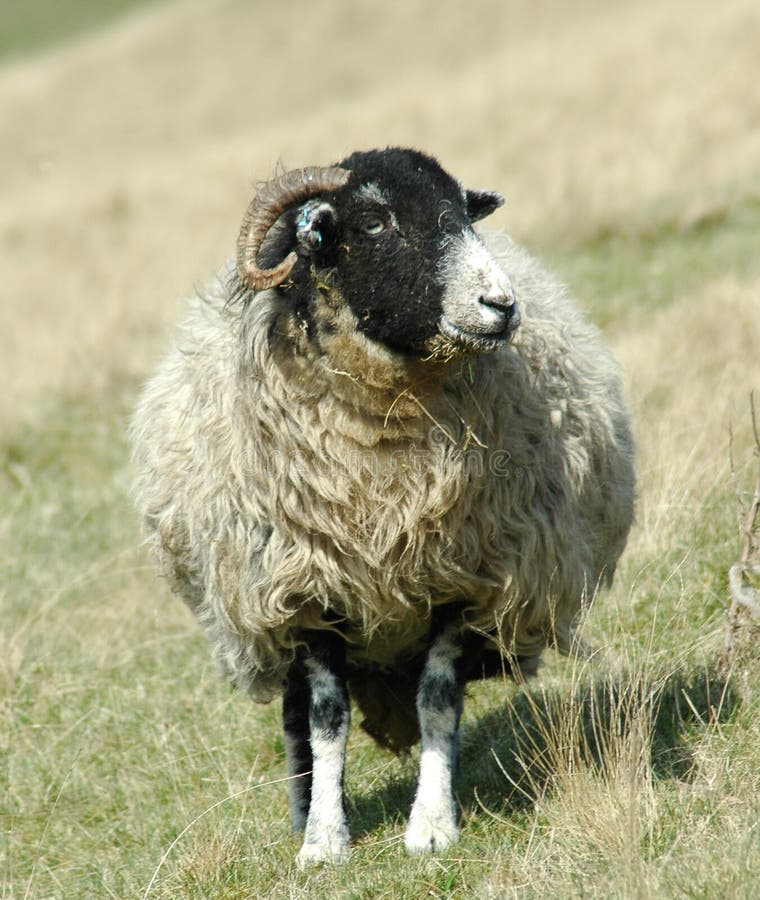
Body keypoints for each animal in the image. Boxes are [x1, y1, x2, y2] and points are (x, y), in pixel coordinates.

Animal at [130, 147, 635, 864]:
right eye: (374, 222)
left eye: (461, 211)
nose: (501, 305)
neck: (382, 460)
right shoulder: (303, 593)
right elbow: (325, 718)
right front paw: (323, 841)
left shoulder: (466, 578)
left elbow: (437, 701)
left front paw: (432, 824)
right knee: (296, 717)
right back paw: (304, 812)